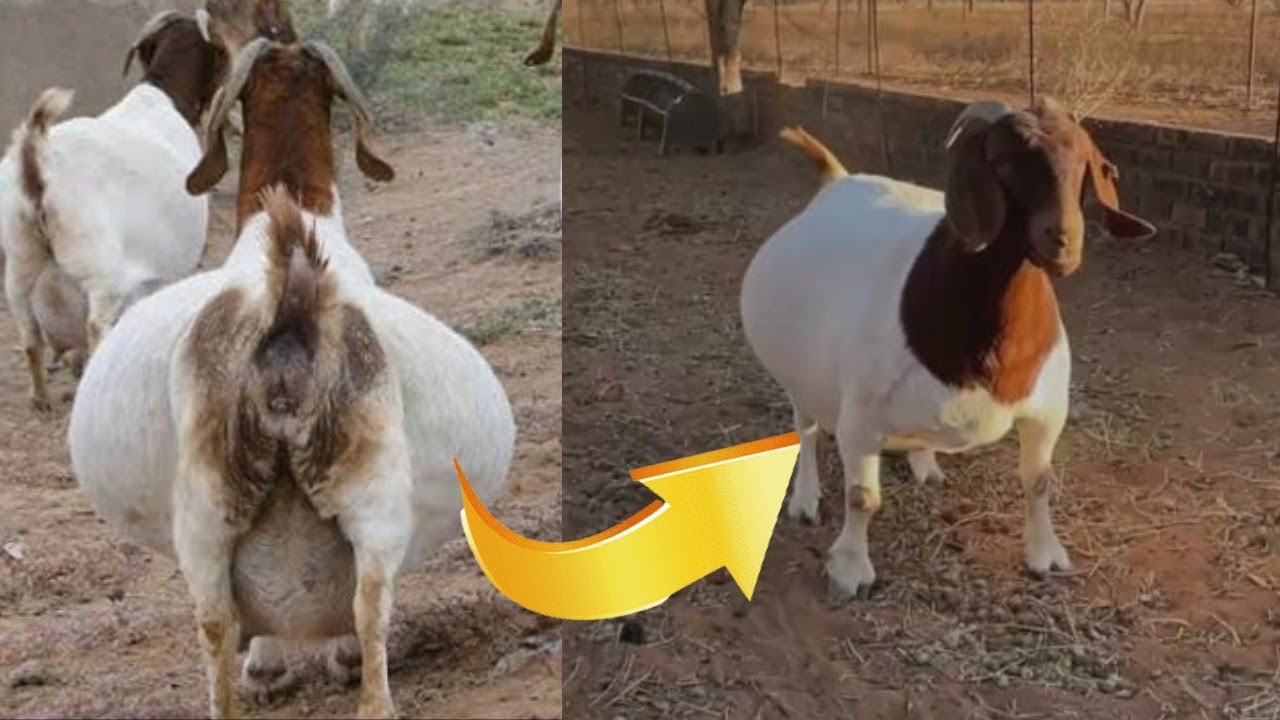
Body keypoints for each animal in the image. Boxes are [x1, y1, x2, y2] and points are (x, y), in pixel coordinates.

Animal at [0, 11, 226, 410]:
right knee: (94, 326)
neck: (161, 98)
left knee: (28, 334)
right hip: (97, 266)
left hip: (19, 261)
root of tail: (37, 159)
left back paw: (41, 397)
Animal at [68, 38, 515, 719]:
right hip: (372, 490)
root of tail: (287, 309)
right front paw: (285, 667)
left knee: (215, 620)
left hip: (206, 511)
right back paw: (366, 686)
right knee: (369, 604)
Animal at [740, 99, 1156, 600]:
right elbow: (862, 498)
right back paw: (805, 499)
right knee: (806, 432)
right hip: (801, 377)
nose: (1063, 240)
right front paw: (850, 569)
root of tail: (839, 179)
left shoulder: (1047, 410)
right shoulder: (861, 415)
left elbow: (1038, 482)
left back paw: (925, 463)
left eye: (1085, 163)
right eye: (1002, 161)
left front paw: (1045, 555)